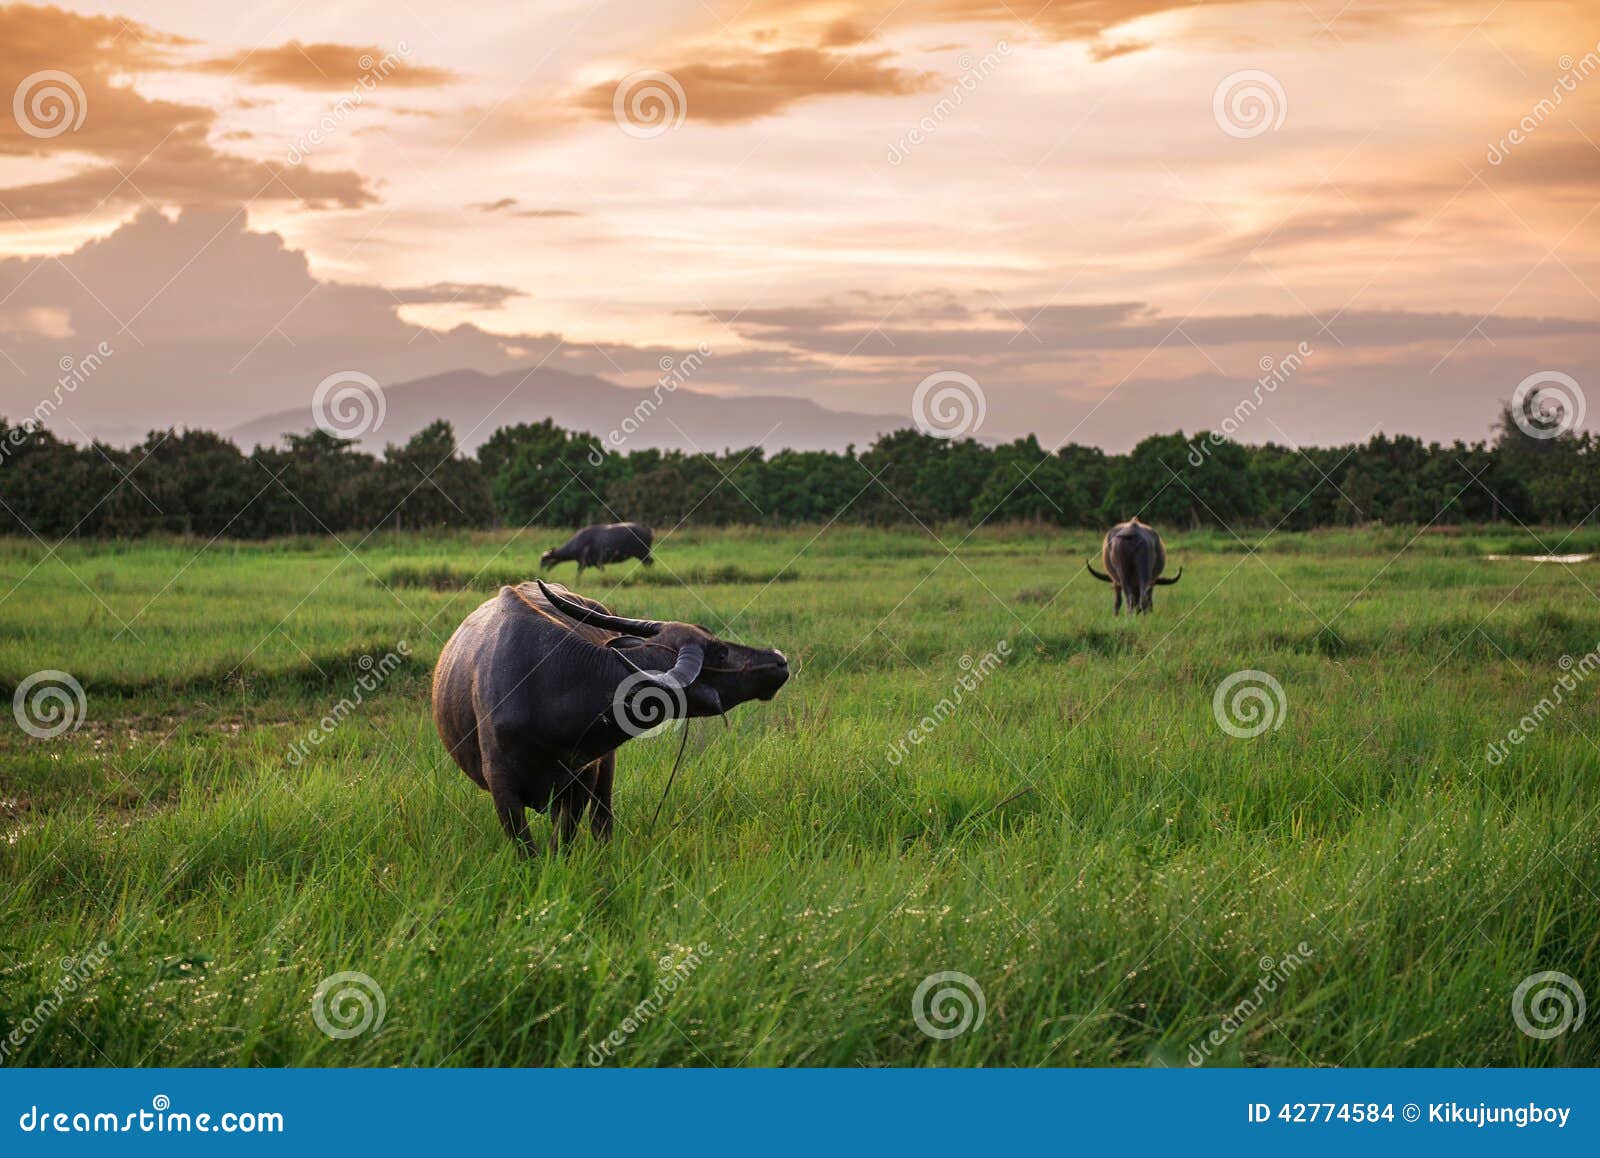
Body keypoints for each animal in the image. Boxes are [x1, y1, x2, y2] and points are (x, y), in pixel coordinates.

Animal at [432, 580, 789, 855]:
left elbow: (562, 846)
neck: (548, 688)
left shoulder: (583, 779)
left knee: (603, 822)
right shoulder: (502, 788)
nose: (778, 659)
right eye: (720, 652)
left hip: (606, 771)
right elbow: (529, 853)